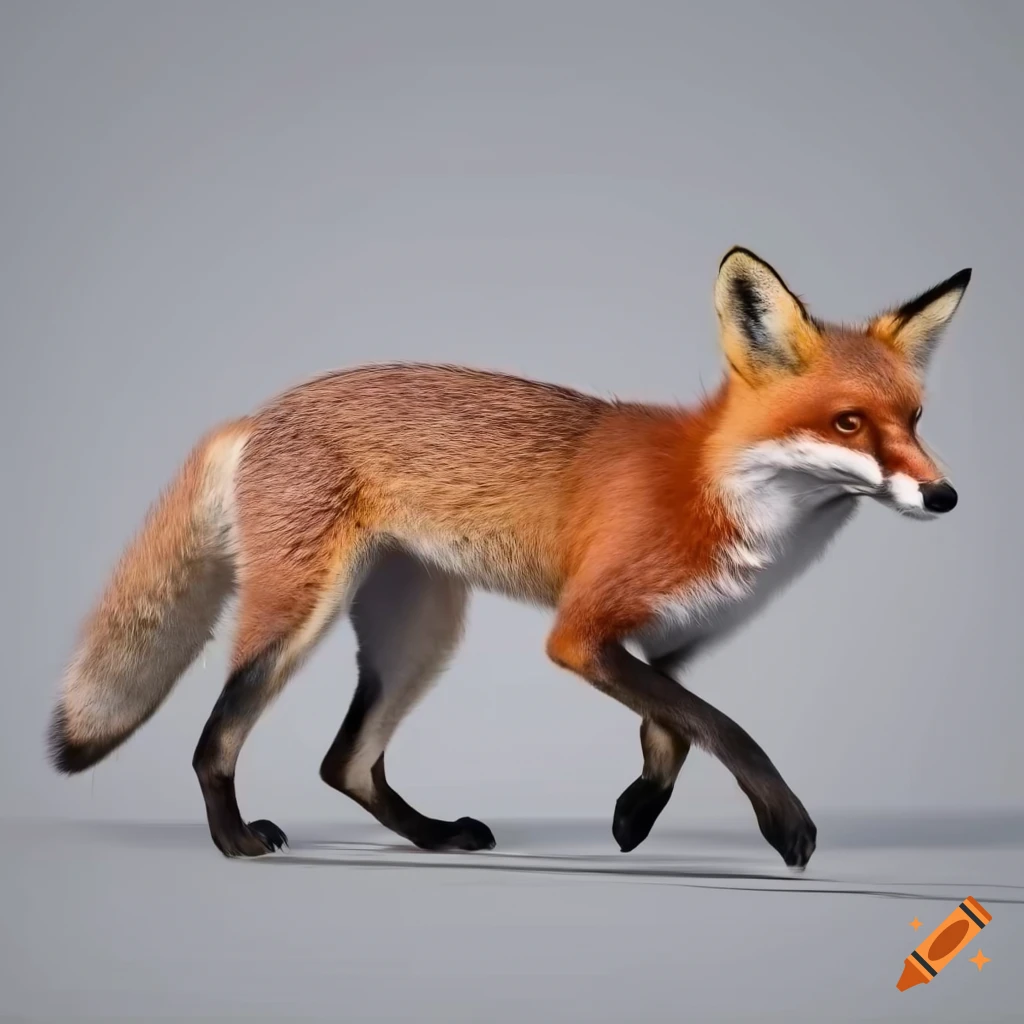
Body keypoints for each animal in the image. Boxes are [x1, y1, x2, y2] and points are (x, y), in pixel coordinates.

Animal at [48, 247, 970, 868]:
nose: (945, 497)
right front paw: (785, 823)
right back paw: (235, 839)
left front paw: (634, 815)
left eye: (916, 418)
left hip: (419, 636)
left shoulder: (673, 639)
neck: (720, 492)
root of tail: (262, 410)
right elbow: (722, 727)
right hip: (297, 618)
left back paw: (430, 835)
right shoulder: (581, 631)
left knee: (345, 763)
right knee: (217, 742)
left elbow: (674, 727)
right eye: (848, 422)